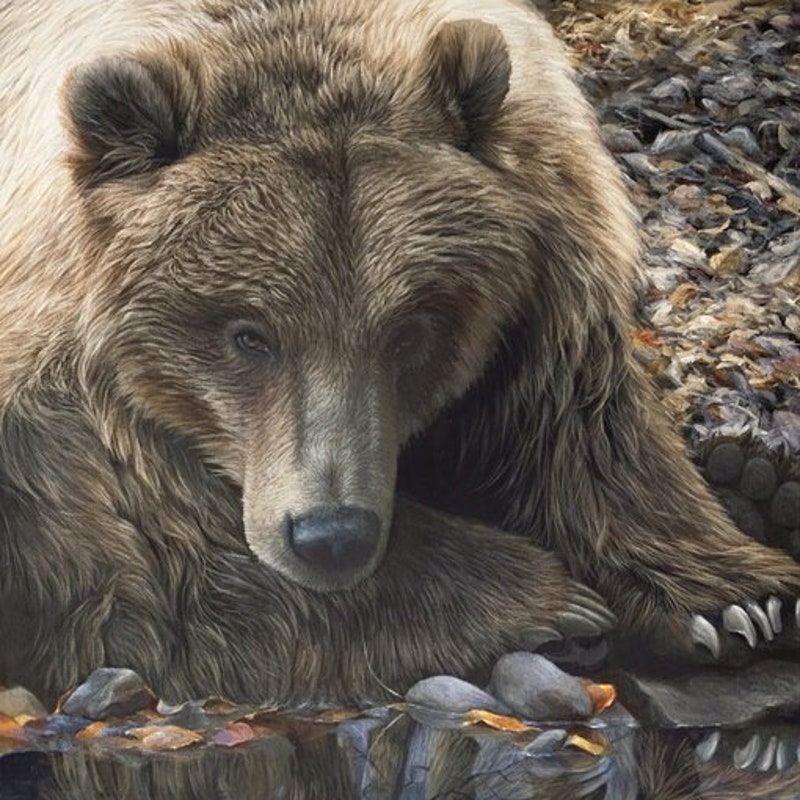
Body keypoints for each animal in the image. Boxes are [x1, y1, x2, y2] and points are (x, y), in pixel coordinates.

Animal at [1, 0, 799, 708]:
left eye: (410, 330)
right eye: (249, 333)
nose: (333, 537)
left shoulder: (548, 271)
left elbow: (580, 426)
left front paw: (731, 602)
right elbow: (154, 559)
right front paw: (545, 600)